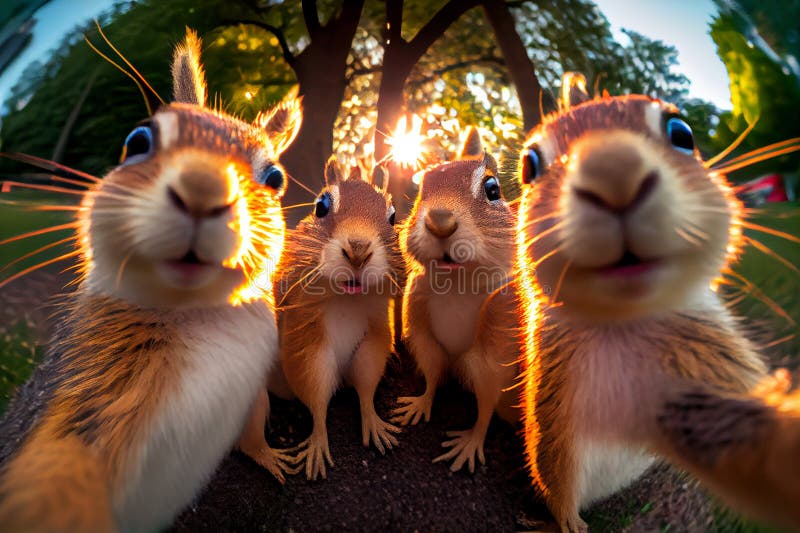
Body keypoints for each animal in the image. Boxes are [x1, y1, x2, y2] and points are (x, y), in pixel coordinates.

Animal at [0, 29, 302, 531]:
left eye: (275, 178)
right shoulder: (83, 401)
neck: (196, 312)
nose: (203, 190)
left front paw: (268, 456)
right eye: (137, 140)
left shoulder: (252, 389)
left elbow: (253, 427)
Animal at [273, 157, 404, 480]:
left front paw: (375, 423)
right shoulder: (308, 352)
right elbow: (317, 400)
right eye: (321, 206)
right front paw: (318, 446)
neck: (347, 298)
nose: (358, 250)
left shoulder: (373, 341)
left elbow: (367, 388)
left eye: (393, 216)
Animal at [392, 128, 520, 472]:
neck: (457, 282)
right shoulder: (421, 326)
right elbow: (432, 378)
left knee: (488, 403)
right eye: (421, 189)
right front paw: (420, 404)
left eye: (492, 189)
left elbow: (485, 409)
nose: (440, 221)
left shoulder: (494, 353)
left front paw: (471, 443)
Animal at [516, 73, 799, 531]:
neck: (621, 323)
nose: (612, 169)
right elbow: (555, 483)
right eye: (529, 166)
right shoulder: (553, 417)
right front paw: (568, 525)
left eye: (682, 133)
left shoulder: (701, 377)